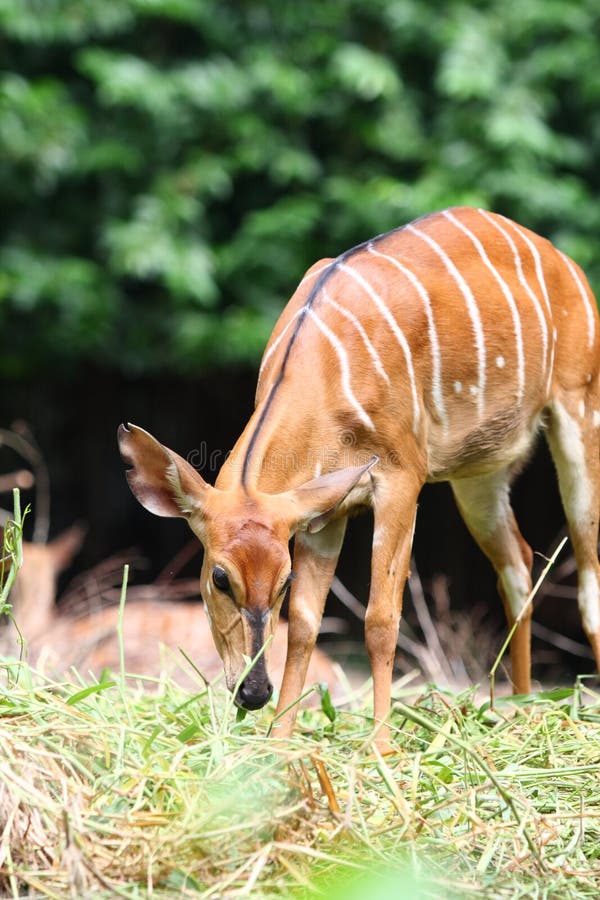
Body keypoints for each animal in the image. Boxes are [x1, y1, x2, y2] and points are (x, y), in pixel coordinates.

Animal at [119, 206, 600, 753]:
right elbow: (306, 625)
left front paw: (381, 746)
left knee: (588, 579)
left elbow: (380, 619)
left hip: (579, 406)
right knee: (518, 563)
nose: (253, 692)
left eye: (281, 580)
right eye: (219, 577)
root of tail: (568, 264)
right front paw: (280, 742)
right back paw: (519, 709)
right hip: (479, 470)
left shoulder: (403, 477)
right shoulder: (324, 510)